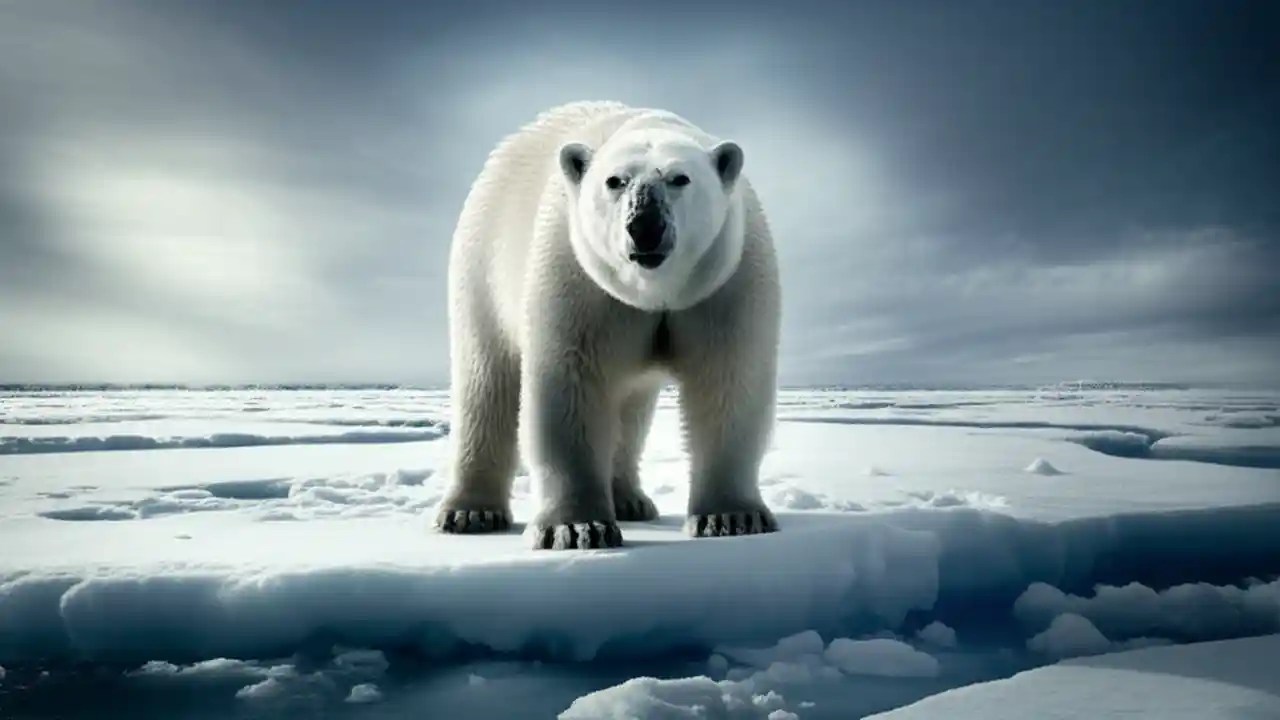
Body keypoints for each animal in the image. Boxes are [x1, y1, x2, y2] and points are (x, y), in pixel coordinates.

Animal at [435, 101, 780, 550]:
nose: (645, 226)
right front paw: (577, 527)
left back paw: (630, 500)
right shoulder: (578, 282)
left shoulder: (727, 283)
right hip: (482, 269)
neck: (655, 293)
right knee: (486, 383)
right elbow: (570, 390)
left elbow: (729, 382)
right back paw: (470, 512)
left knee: (630, 407)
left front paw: (732, 517)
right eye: (615, 181)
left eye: (679, 178)